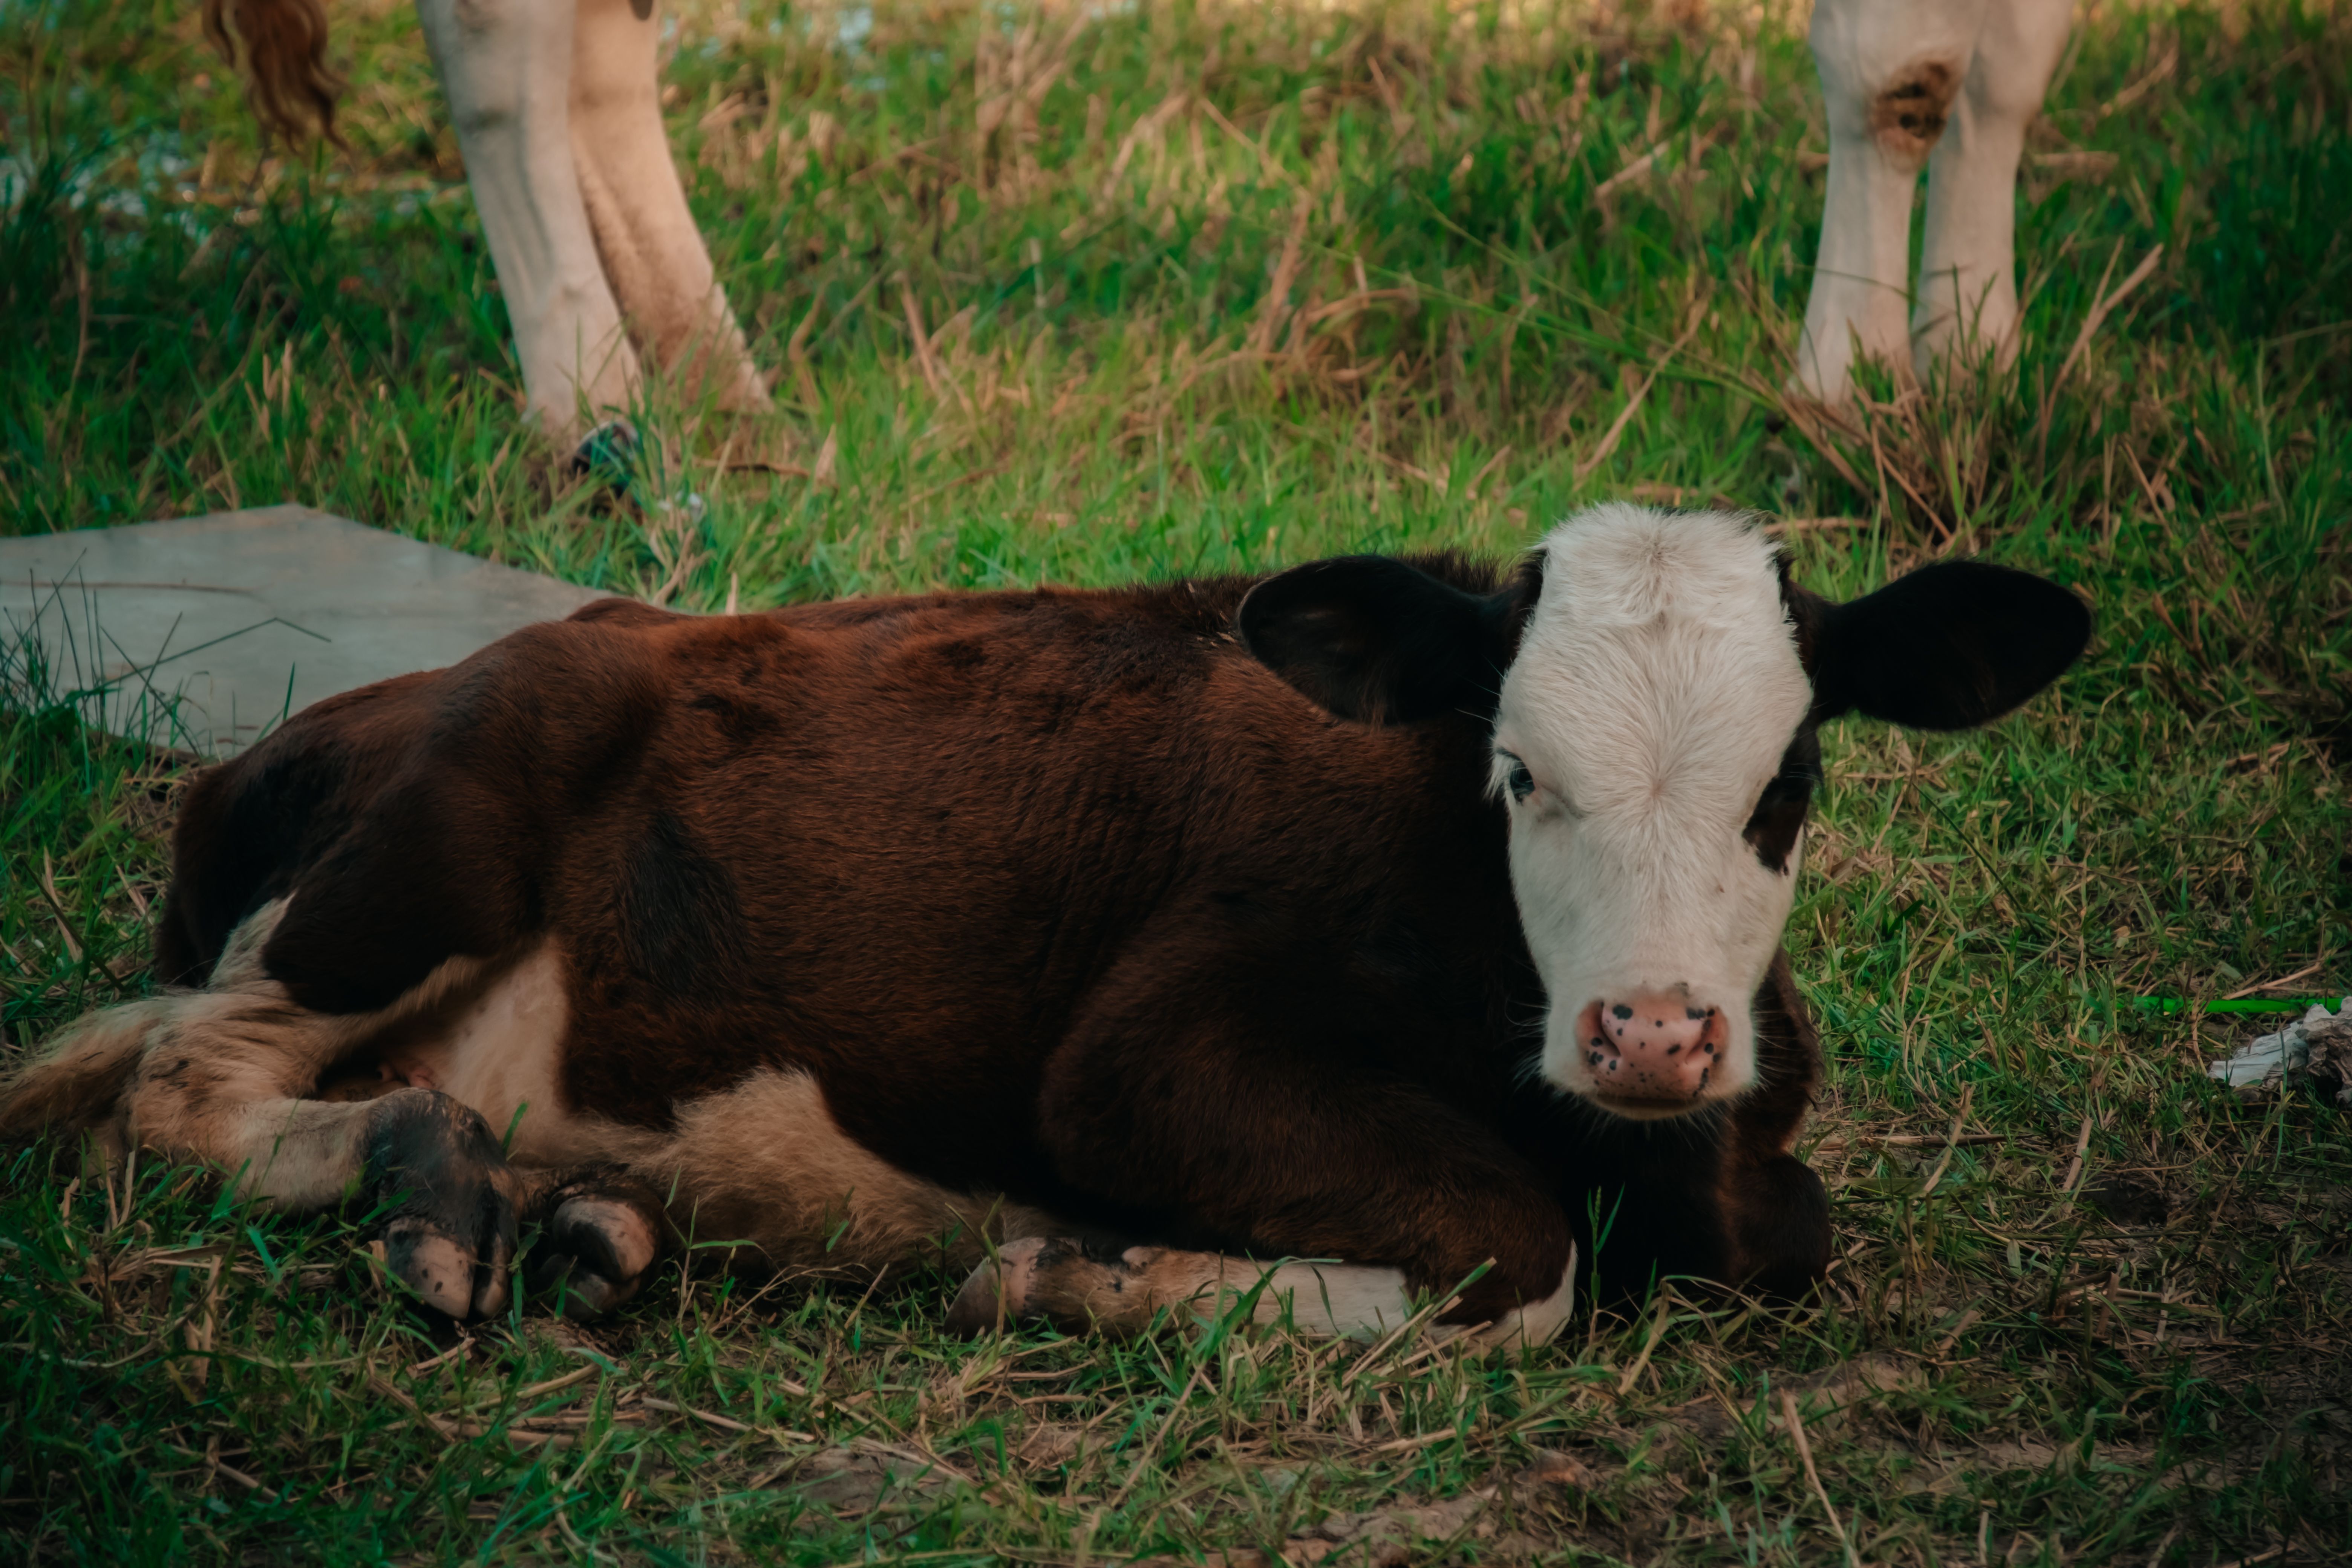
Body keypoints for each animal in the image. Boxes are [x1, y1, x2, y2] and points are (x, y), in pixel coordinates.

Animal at [0, 506, 2089, 1342]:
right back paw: (437, 1201)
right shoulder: (1144, 1067)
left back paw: (555, 1213)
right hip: (434, 839)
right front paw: (1093, 1278)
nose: (1653, 1029)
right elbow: (1519, 1258)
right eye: (1519, 776)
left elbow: (1781, 1235)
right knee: (177, 1088)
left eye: (1788, 783)